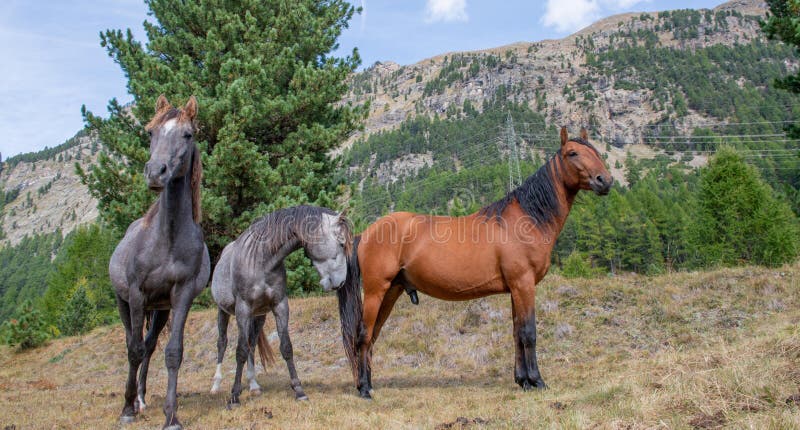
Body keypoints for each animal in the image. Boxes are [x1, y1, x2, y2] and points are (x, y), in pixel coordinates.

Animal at [109, 95, 210, 429]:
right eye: (151, 132)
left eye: (187, 134)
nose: (155, 172)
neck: (167, 238)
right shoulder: (137, 295)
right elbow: (133, 350)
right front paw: (126, 410)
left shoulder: (181, 296)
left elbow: (172, 352)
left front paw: (171, 416)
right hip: (124, 302)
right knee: (135, 343)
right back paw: (133, 403)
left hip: (161, 309)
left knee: (151, 346)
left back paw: (141, 398)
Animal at [209, 205, 354, 405]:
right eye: (341, 244)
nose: (341, 282)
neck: (262, 260)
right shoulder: (242, 309)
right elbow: (240, 351)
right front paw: (234, 396)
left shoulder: (280, 306)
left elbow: (286, 347)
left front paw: (299, 390)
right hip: (223, 312)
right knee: (222, 343)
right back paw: (216, 385)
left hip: (259, 316)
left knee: (251, 344)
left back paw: (253, 385)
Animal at [337, 127, 613, 398]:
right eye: (572, 153)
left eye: (595, 151)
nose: (605, 181)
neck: (525, 220)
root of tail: (367, 233)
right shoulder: (524, 284)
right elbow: (529, 333)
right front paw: (537, 381)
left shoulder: (515, 289)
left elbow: (516, 332)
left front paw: (522, 380)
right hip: (376, 292)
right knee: (363, 335)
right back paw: (364, 389)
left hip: (391, 292)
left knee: (372, 335)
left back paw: (367, 383)